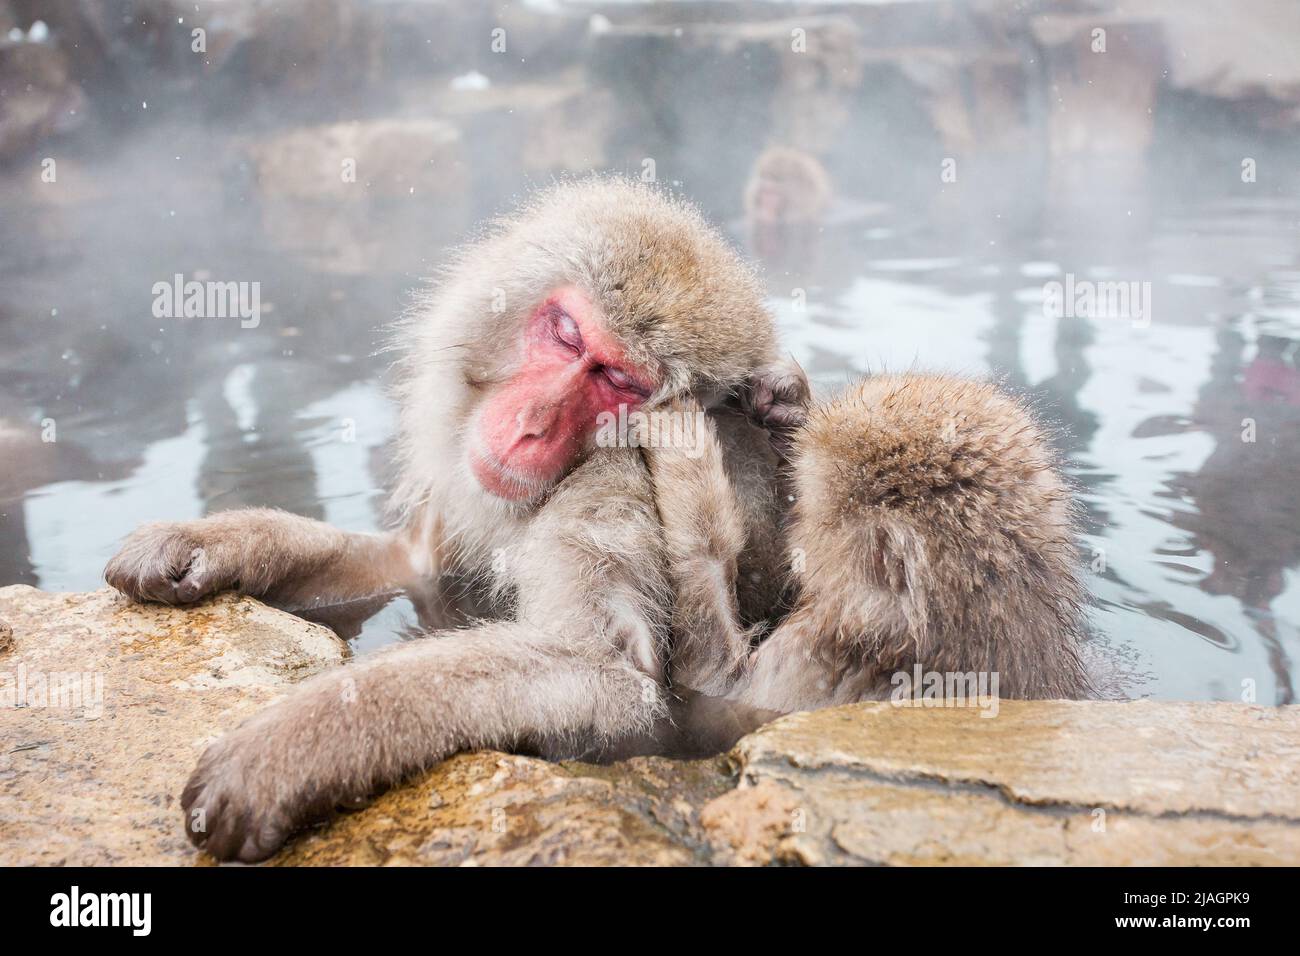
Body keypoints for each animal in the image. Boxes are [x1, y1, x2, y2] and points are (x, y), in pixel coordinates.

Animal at [104, 178, 808, 861]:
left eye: (617, 380)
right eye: (568, 336)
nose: (532, 424)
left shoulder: (612, 475)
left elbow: (601, 665)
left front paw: (288, 751)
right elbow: (411, 564)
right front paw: (213, 541)